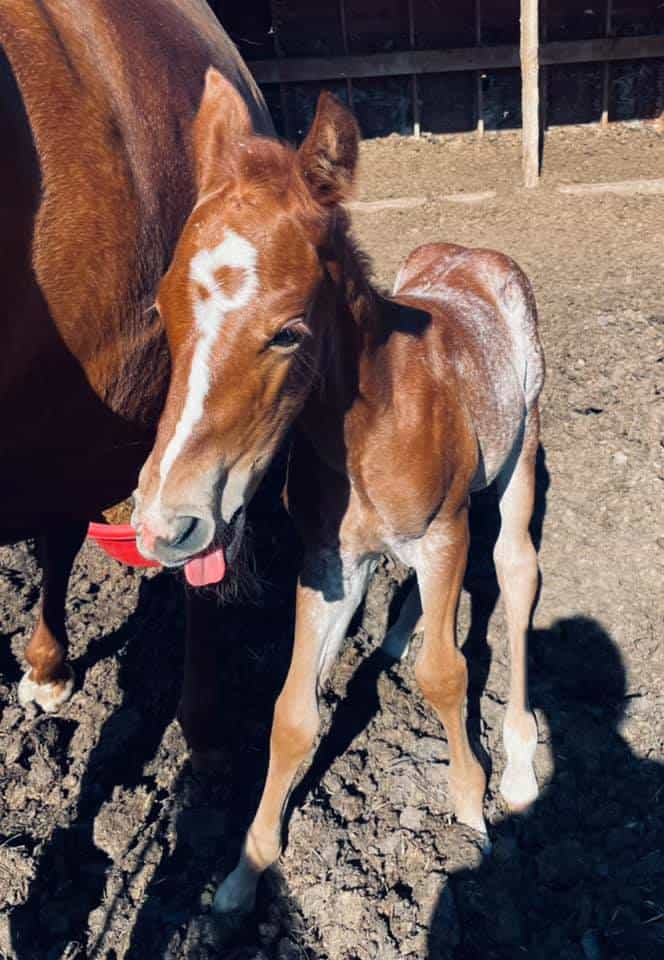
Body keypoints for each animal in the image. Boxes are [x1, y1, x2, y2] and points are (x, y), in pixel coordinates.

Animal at [132, 75, 545, 911]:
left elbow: (446, 672)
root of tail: (480, 256)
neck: (372, 424)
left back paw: (519, 769)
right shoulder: (328, 559)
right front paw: (244, 871)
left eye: (288, 331)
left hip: (521, 448)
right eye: (162, 307)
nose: (165, 524)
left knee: (517, 571)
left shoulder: (448, 532)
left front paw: (469, 812)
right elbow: (292, 712)